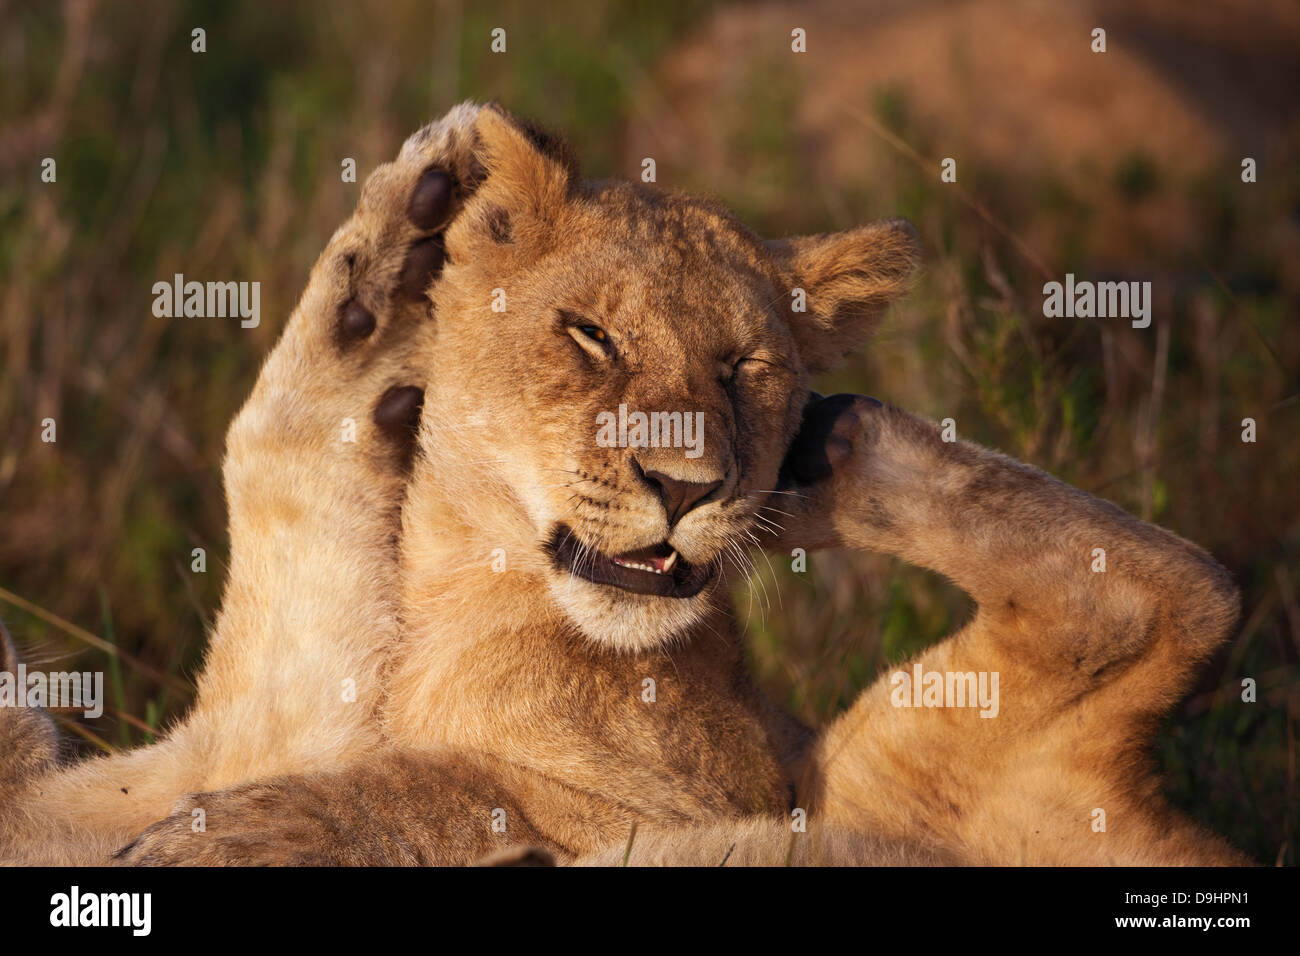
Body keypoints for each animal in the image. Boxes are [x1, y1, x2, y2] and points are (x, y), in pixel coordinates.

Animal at [0, 103, 1245, 866]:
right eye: (590, 335)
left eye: (742, 366)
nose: (689, 484)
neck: (455, 608)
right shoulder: (224, 730)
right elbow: (281, 490)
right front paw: (387, 269)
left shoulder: (683, 794)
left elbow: (444, 785)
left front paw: (240, 831)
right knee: (1151, 597)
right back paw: (834, 450)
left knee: (1182, 587)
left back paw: (829, 452)